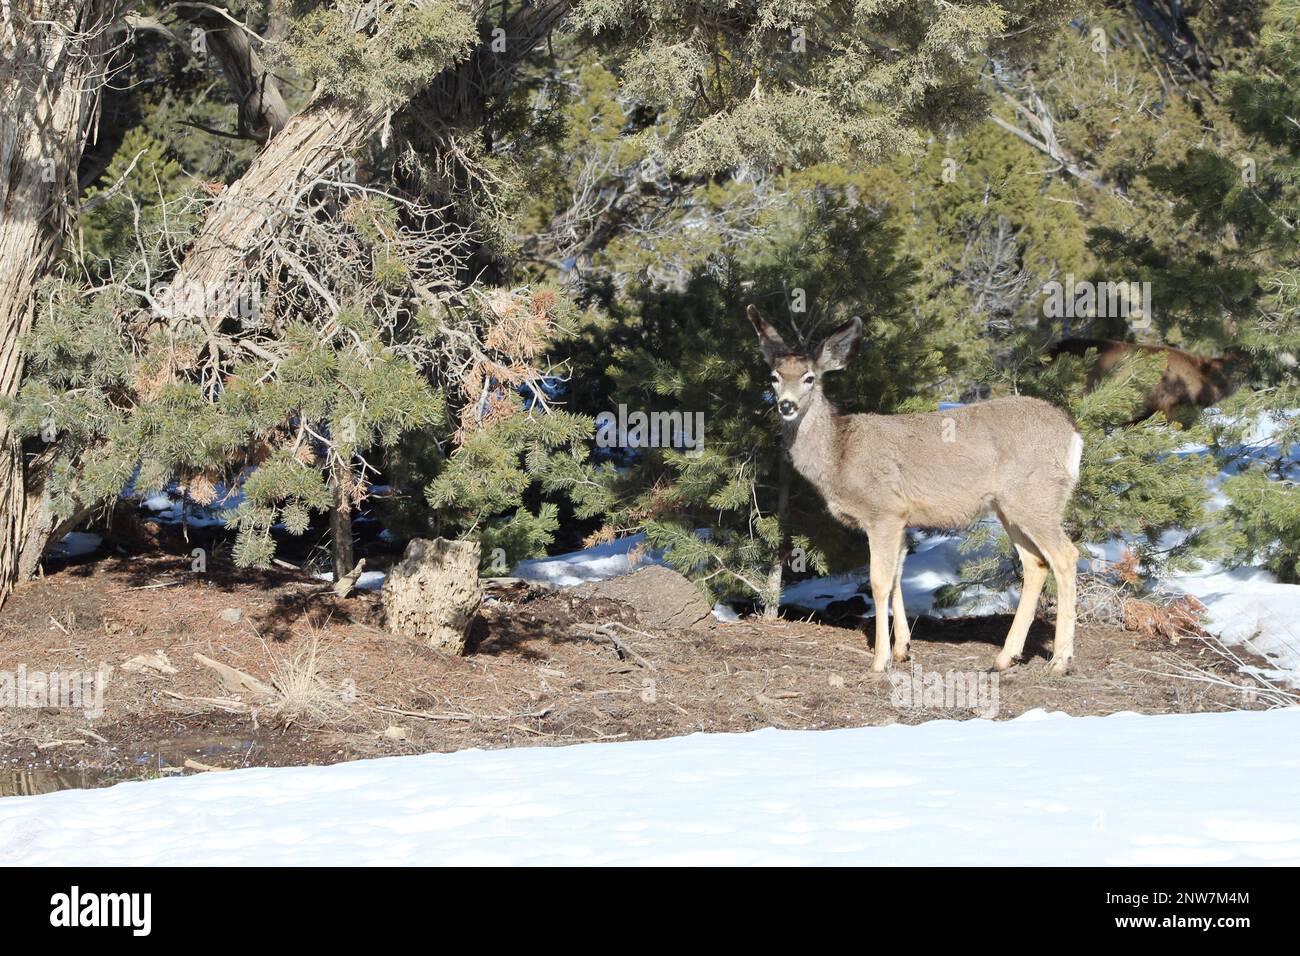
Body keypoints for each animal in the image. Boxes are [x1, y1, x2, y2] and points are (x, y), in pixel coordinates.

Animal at [747, 305, 1084, 675]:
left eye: (809, 378)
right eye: (775, 377)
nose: (786, 405)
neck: (840, 455)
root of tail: (1074, 435)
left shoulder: (884, 509)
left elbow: (879, 581)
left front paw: (880, 660)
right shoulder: (902, 519)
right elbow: (896, 577)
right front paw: (902, 650)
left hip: (1035, 496)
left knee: (1066, 556)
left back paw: (1061, 660)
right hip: (1008, 506)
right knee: (1036, 563)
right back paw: (1004, 658)